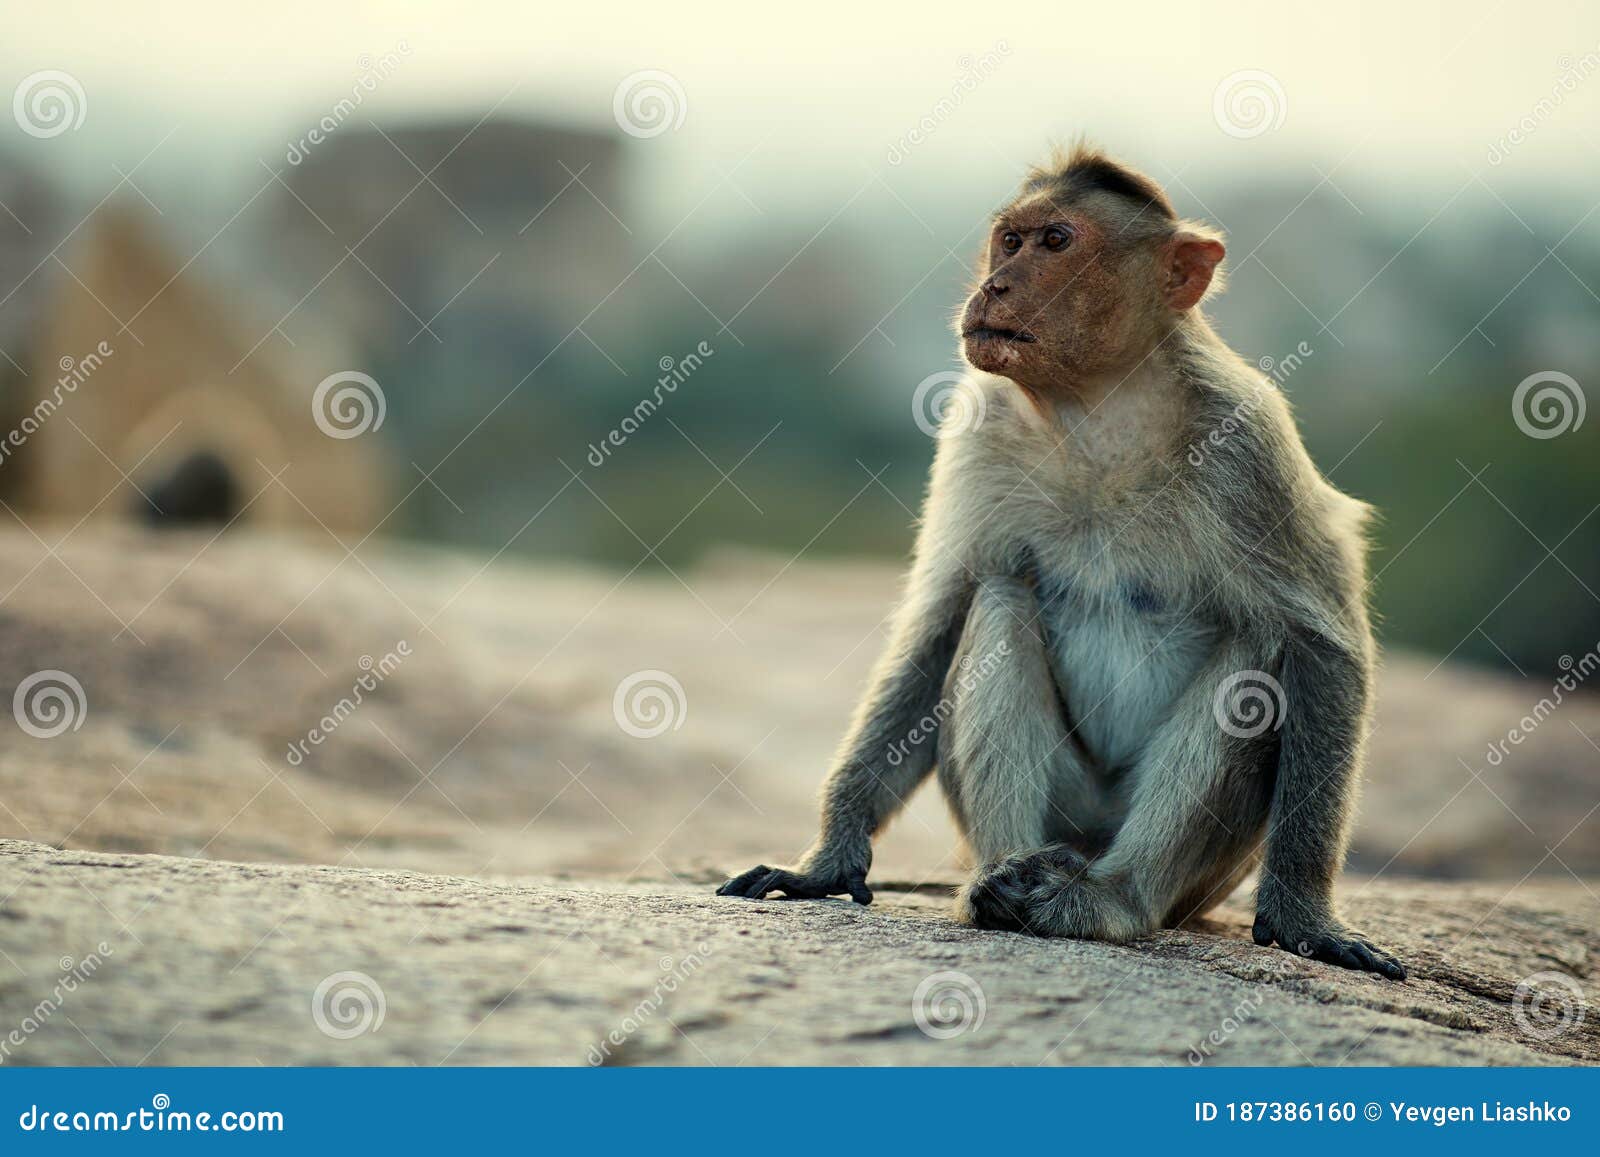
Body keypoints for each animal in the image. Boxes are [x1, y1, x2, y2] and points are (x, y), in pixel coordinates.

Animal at [717, 143, 1406, 981]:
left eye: (1056, 242)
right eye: (1010, 241)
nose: (995, 285)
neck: (1098, 410)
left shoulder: (1250, 446)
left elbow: (1320, 645)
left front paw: (1306, 917)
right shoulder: (980, 429)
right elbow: (940, 618)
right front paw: (824, 861)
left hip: (1189, 871)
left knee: (1256, 653)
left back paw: (1108, 899)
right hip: (1067, 812)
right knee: (999, 601)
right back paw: (1007, 879)